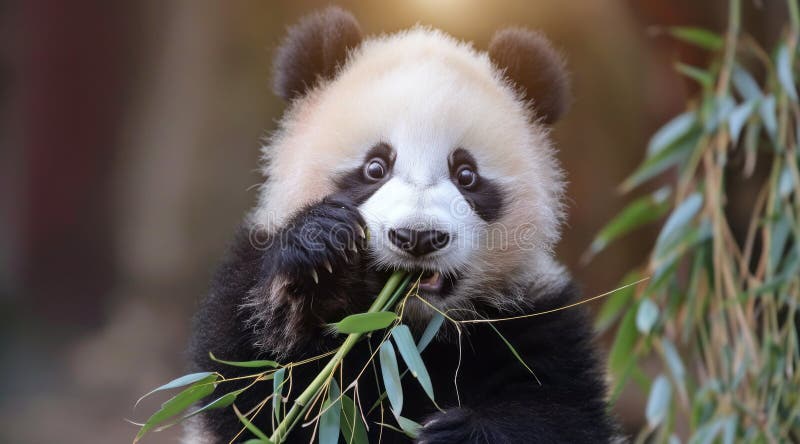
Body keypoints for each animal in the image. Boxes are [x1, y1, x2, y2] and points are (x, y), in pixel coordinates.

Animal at [186, 7, 618, 444]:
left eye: (466, 175)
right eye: (375, 167)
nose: (418, 237)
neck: (406, 334)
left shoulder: (535, 312)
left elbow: (561, 410)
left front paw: (456, 433)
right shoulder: (245, 277)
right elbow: (258, 392)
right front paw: (318, 253)